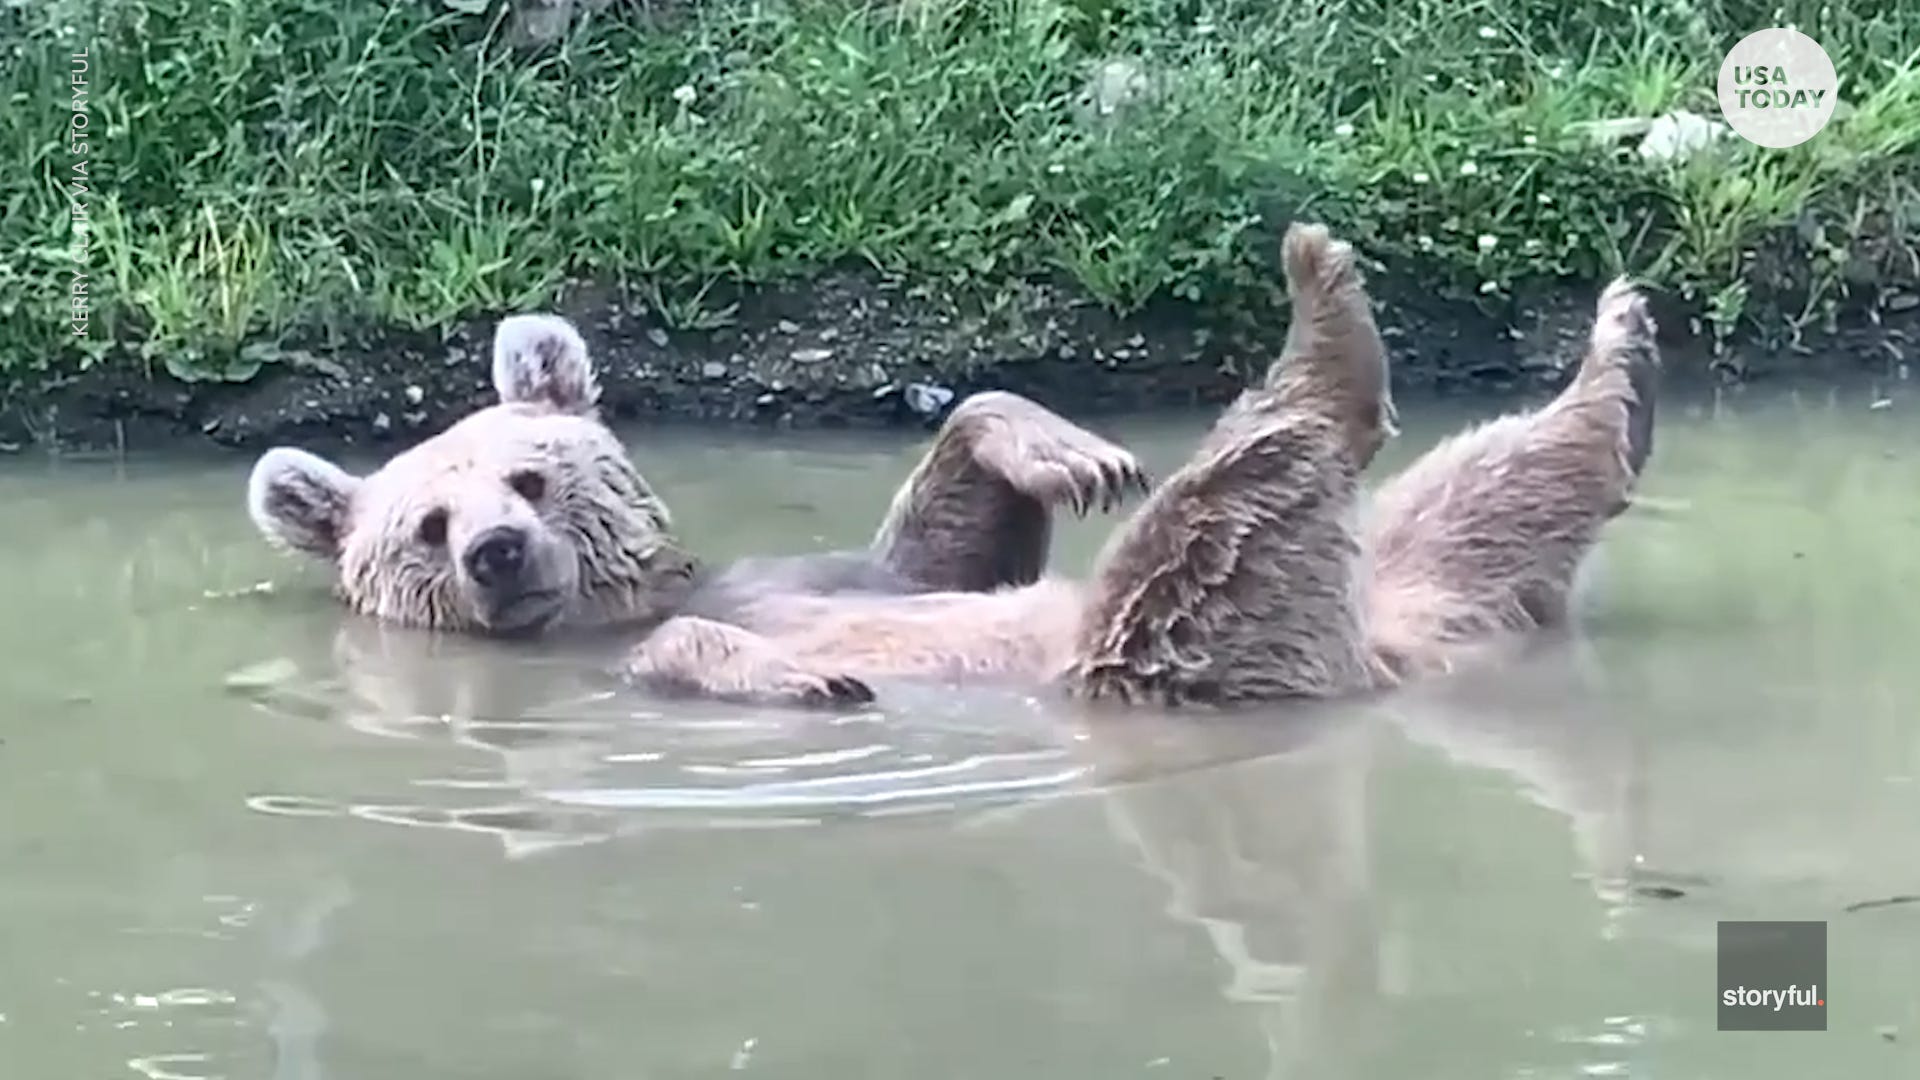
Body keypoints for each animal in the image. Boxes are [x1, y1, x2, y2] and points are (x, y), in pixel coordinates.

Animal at [248, 221, 1660, 711]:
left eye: (532, 479)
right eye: (426, 527)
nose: (497, 551)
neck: (606, 612)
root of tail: (1393, 661)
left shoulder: (808, 569)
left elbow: (941, 550)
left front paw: (1070, 453)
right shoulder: (598, 665)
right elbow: (696, 659)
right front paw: (809, 679)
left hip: (1412, 586)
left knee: (1480, 491)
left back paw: (1618, 357)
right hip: (1180, 643)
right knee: (1236, 520)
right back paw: (1329, 324)